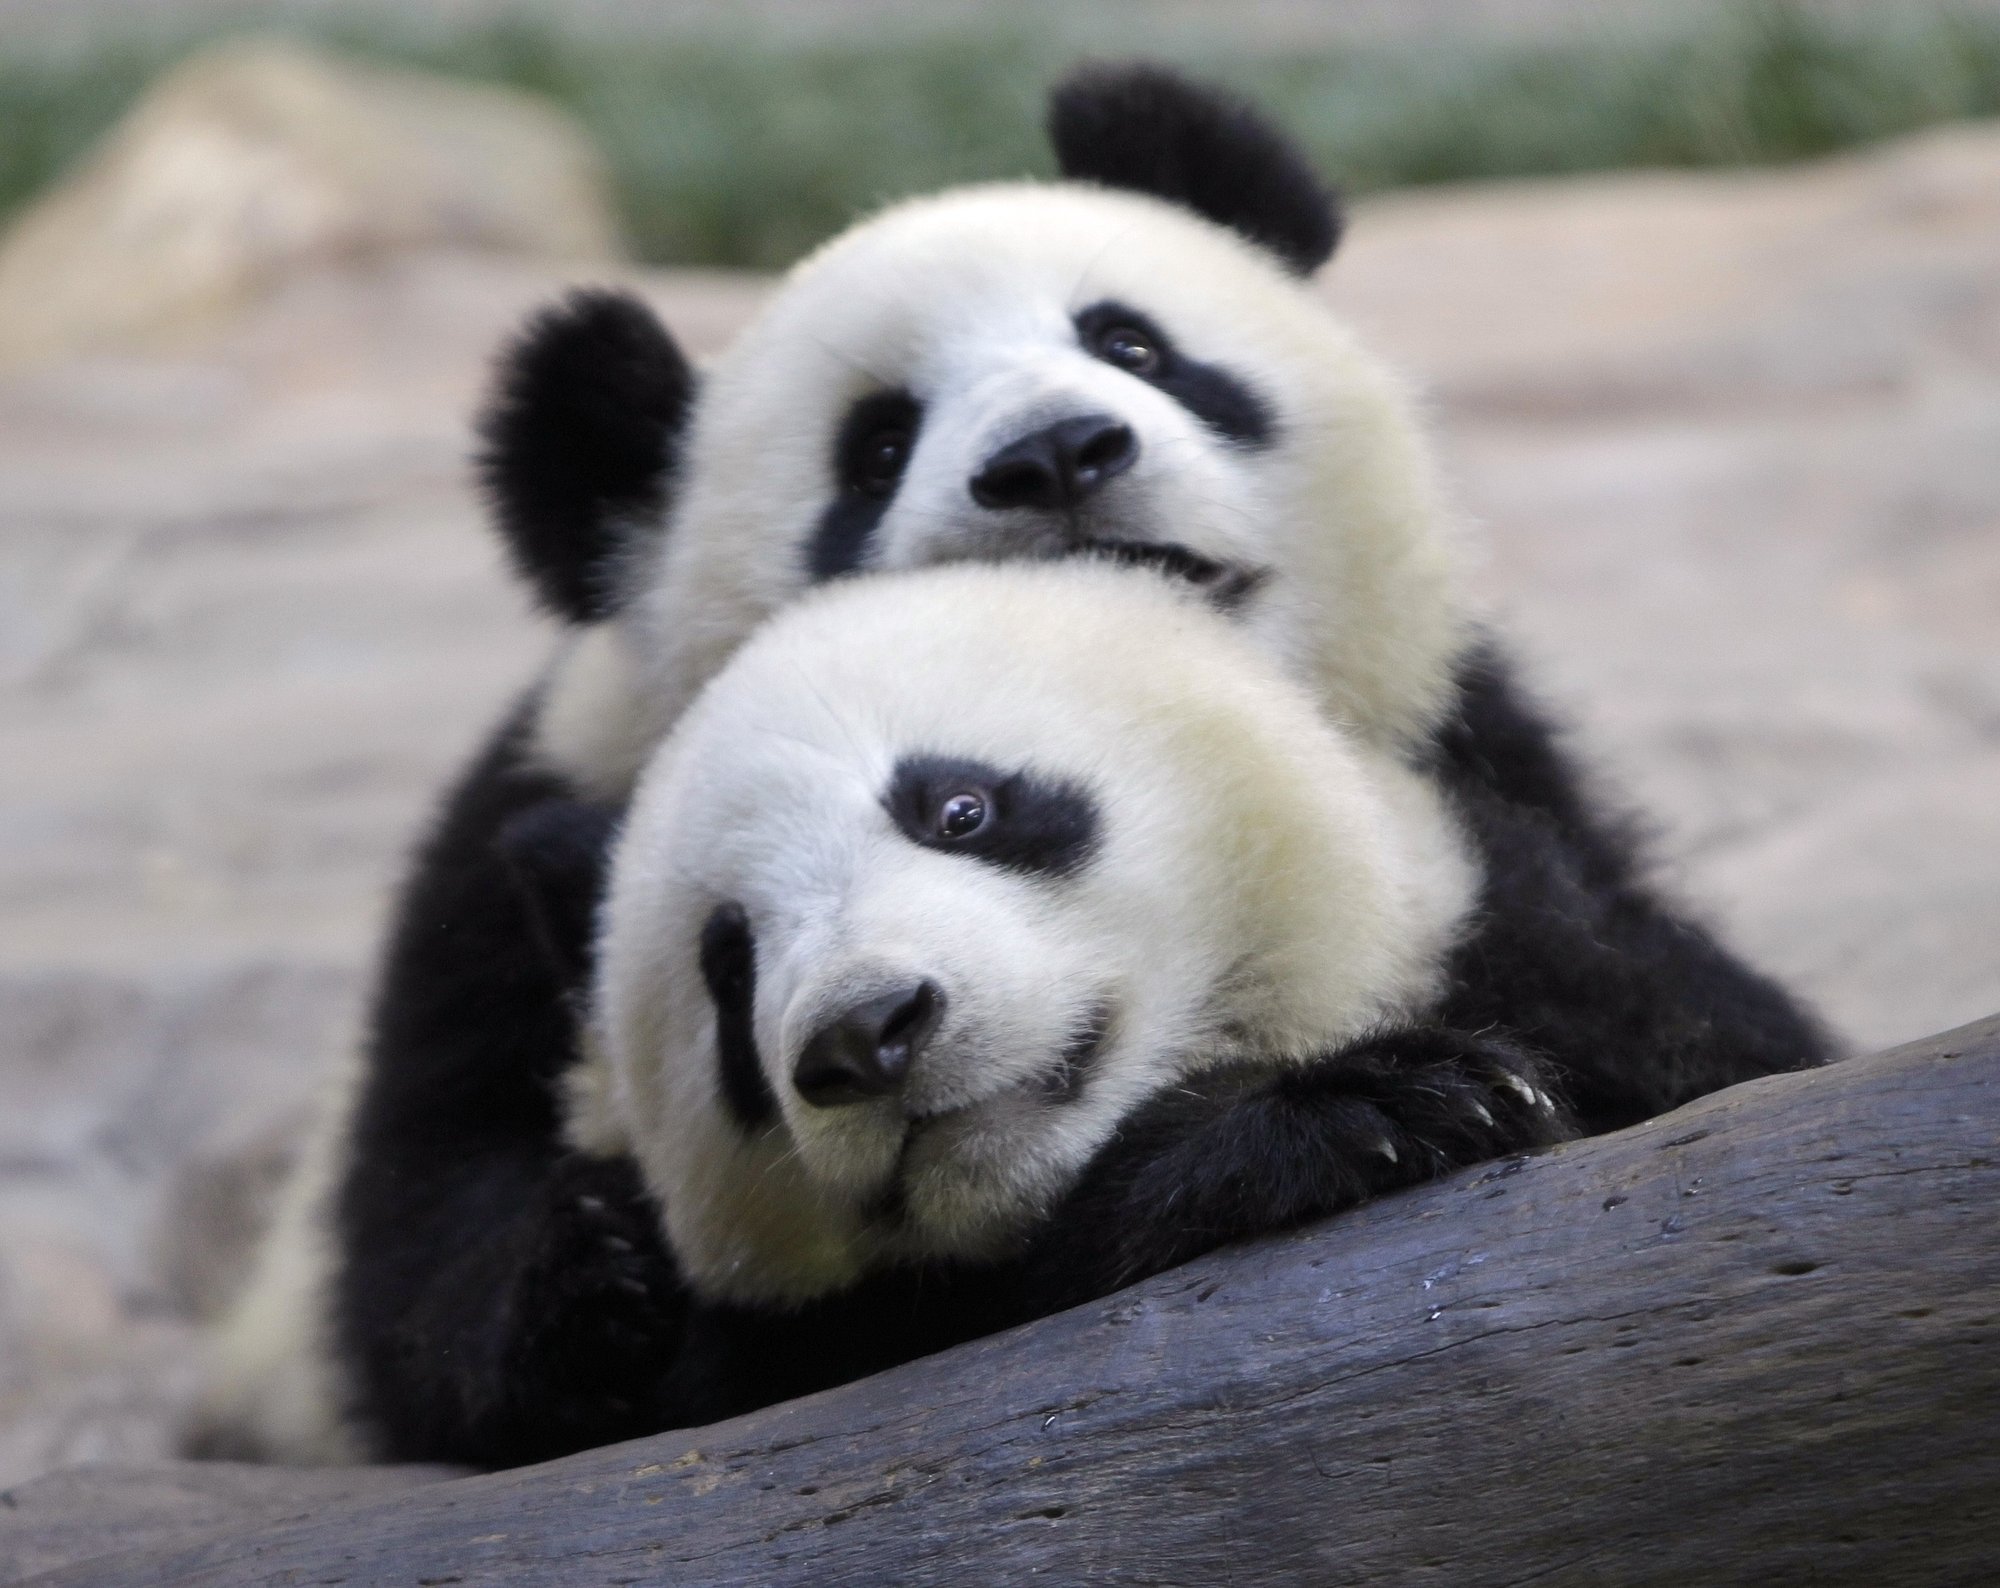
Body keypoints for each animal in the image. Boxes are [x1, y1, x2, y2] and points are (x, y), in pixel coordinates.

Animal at [196, 63, 1831, 1468]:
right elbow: (440, 1243)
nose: (1053, 456)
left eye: (1133, 343)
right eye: (872, 448)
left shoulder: (1489, 755)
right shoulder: (506, 856)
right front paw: (590, 1273)